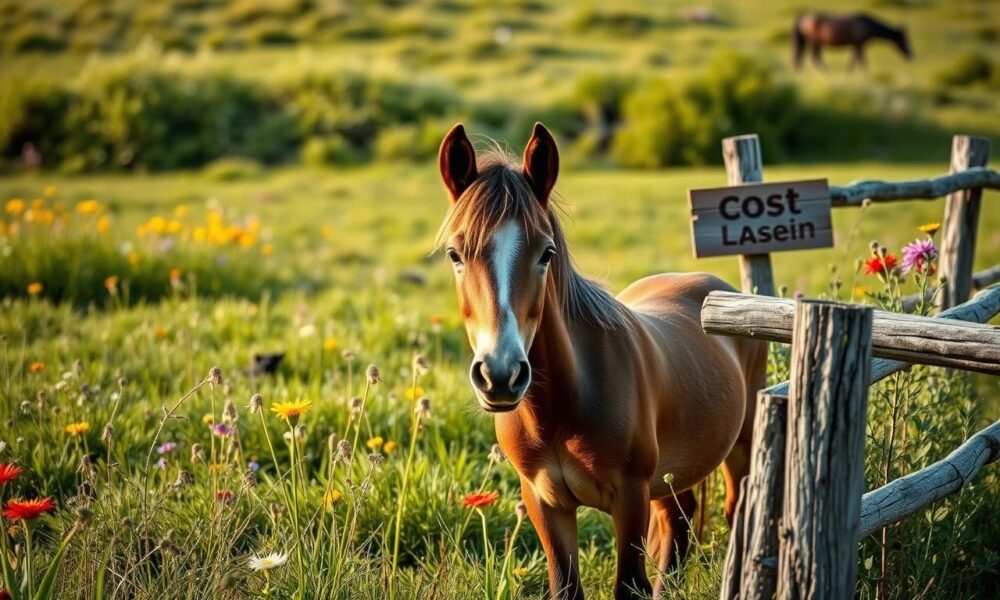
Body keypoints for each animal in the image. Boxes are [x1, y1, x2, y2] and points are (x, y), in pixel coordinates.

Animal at [437, 123, 767, 599]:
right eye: (455, 254)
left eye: (546, 253)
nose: (500, 375)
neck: (563, 406)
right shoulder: (544, 502)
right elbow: (566, 586)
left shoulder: (629, 497)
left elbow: (628, 584)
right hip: (668, 477)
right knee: (679, 521)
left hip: (741, 449)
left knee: (734, 512)